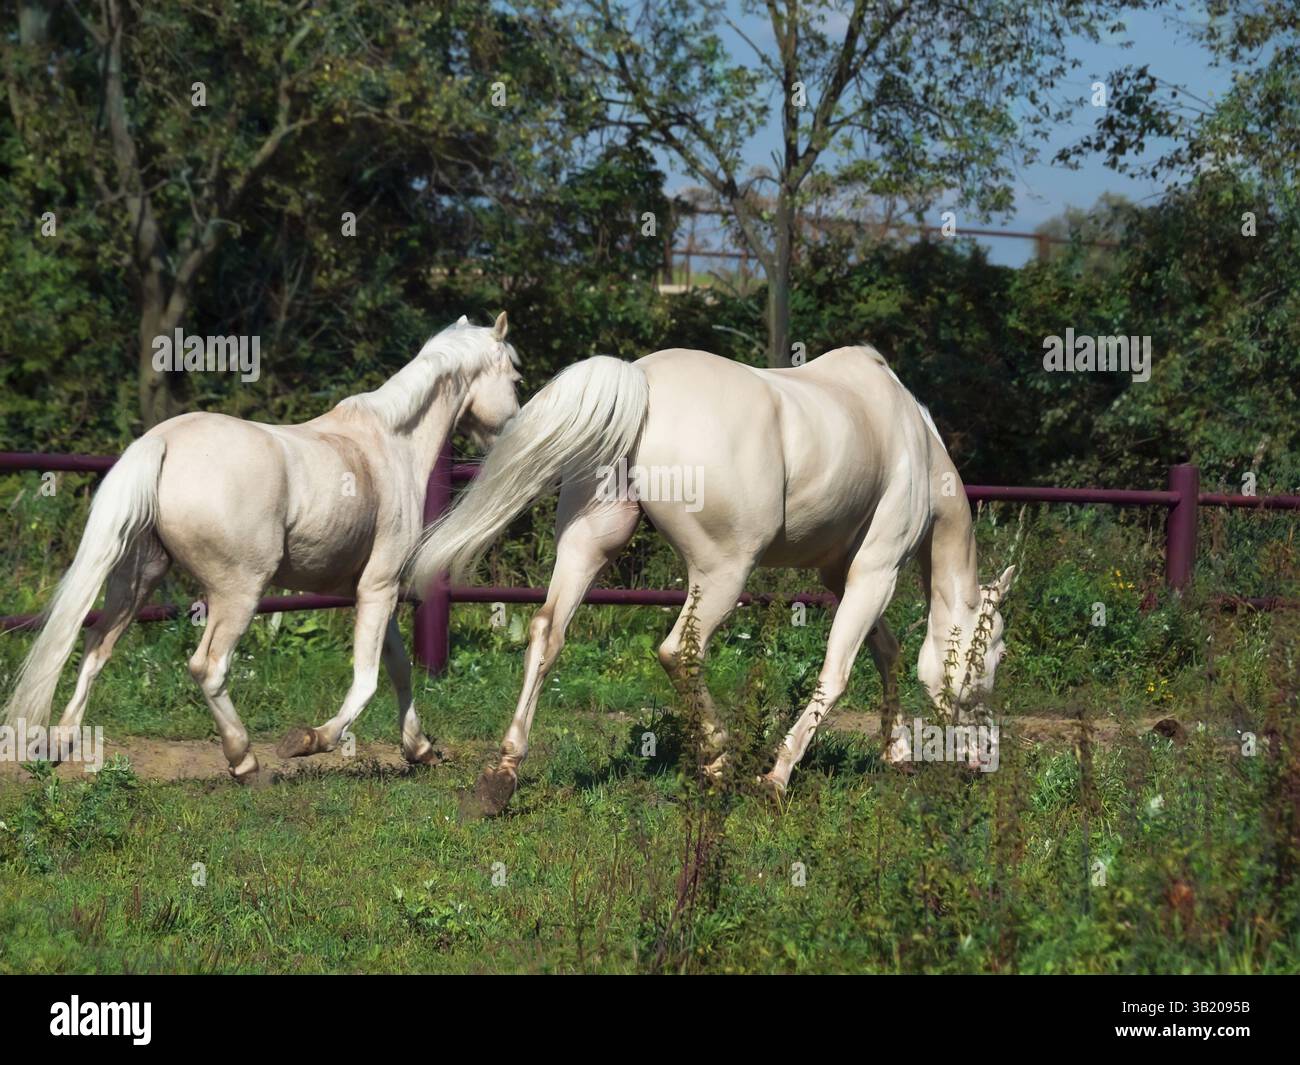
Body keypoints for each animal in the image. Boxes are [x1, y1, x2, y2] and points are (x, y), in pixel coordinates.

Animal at [3, 314, 522, 780]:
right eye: (516, 378)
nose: (512, 436)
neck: (390, 443)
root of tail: (162, 441)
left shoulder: (375, 588)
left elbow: (398, 667)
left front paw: (420, 750)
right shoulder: (379, 585)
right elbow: (368, 678)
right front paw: (310, 740)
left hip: (137, 579)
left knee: (95, 647)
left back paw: (62, 745)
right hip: (239, 590)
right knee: (208, 667)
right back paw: (244, 761)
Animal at [405, 343, 1015, 813]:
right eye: (997, 653)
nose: (984, 760)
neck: (914, 440)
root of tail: (642, 383)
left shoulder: (843, 575)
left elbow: (885, 652)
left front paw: (897, 753)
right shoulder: (875, 571)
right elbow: (838, 671)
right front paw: (775, 777)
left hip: (588, 546)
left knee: (547, 632)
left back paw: (500, 777)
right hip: (722, 573)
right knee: (680, 650)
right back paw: (719, 763)